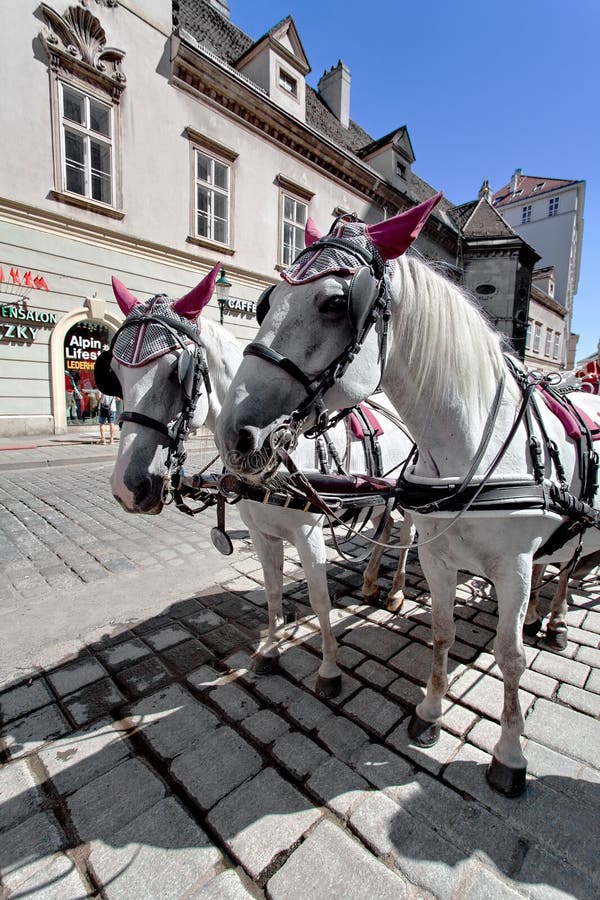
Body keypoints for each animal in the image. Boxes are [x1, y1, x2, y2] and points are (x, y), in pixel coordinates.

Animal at [99, 271, 415, 697]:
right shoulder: (263, 534)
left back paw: (395, 590)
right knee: (384, 530)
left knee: (405, 536)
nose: (128, 488)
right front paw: (270, 650)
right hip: (382, 496)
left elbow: (319, 600)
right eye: (114, 375)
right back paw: (369, 583)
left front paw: (329, 669)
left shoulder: (308, 534)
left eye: (175, 372)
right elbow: (272, 590)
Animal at [215, 195, 600, 796]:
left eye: (334, 303)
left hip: (581, 531)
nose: (236, 435)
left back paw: (555, 622)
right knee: (551, 567)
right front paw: (431, 713)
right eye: (265, 303)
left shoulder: (512, 565)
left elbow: (510, 656)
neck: (469, 445)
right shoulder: (439, 557)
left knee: (565, 573)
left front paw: (510, 754)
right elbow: (441, 633)